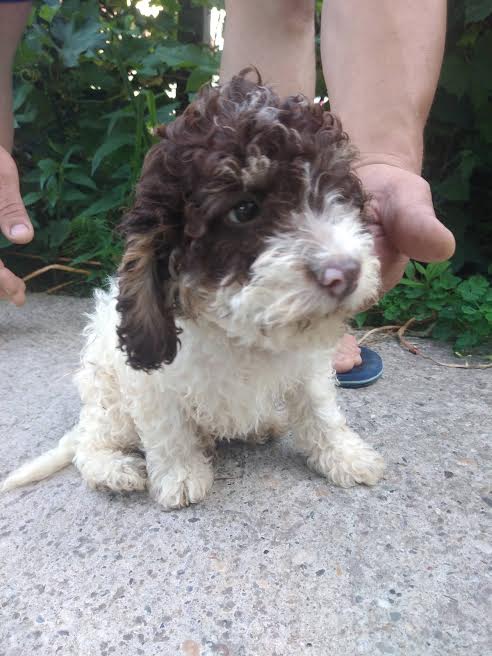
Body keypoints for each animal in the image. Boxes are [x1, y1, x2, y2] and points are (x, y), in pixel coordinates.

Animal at [0, 69, 384, 510]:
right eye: (244, 209)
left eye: (333, 191)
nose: (347, 273)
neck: (237, 333)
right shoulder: (152, 383)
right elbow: (168, 431)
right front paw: (179, 475)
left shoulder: (306, 367)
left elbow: (320, 411)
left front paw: (345, 456)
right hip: (108, 402)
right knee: (89, 445)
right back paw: (114, 470)